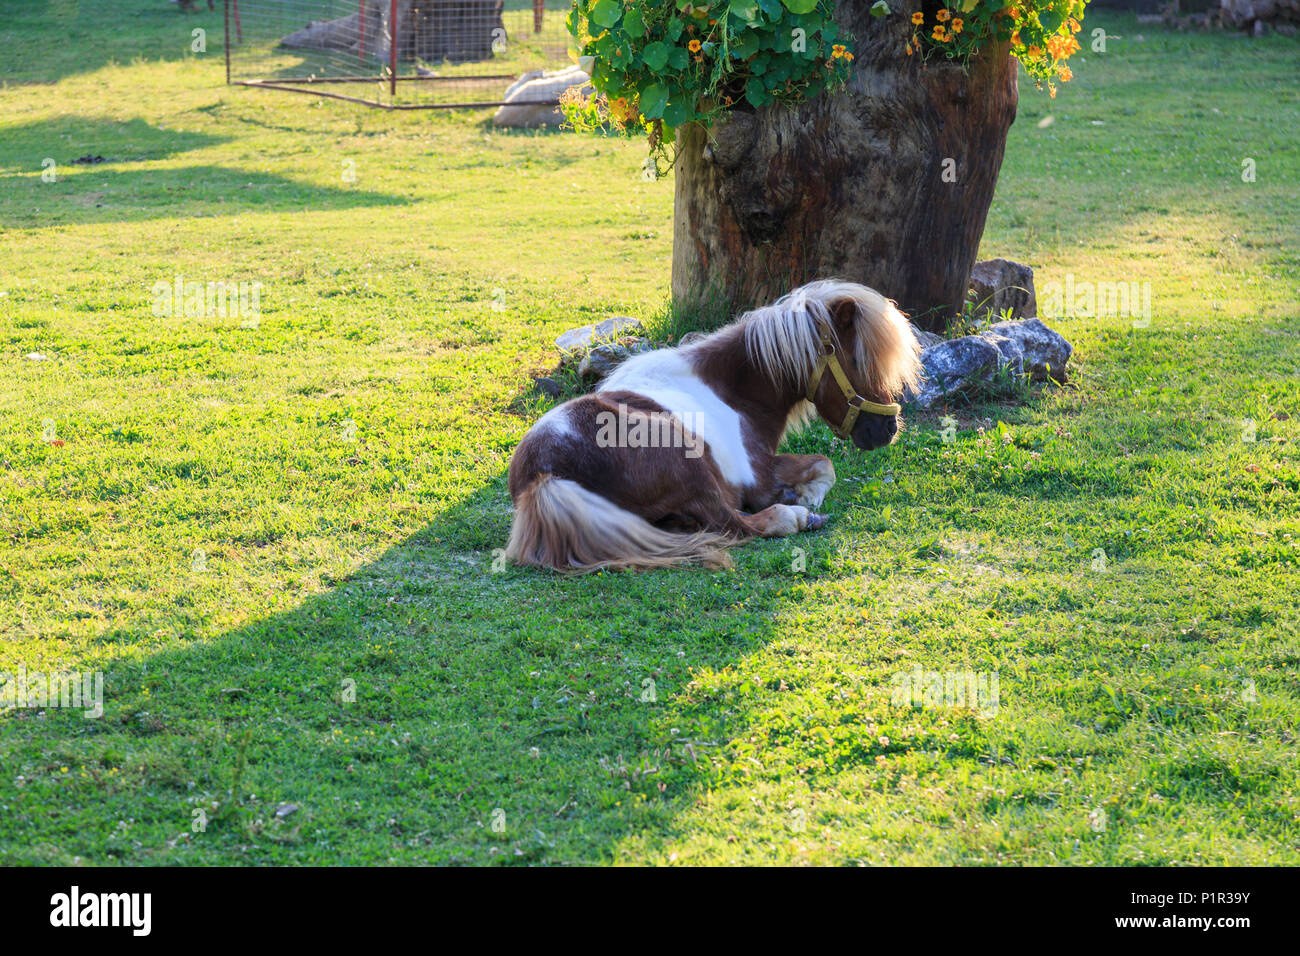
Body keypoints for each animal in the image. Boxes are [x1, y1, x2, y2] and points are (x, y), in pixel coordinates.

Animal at [505, 280, 923, 572]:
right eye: (856, 361)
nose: (887, 429)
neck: (731, 392)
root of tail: (543, 475)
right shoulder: (759, 475)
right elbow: (824, 464)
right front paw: (803, 498)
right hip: (689, 464)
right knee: (734, 523)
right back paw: (796, 517)